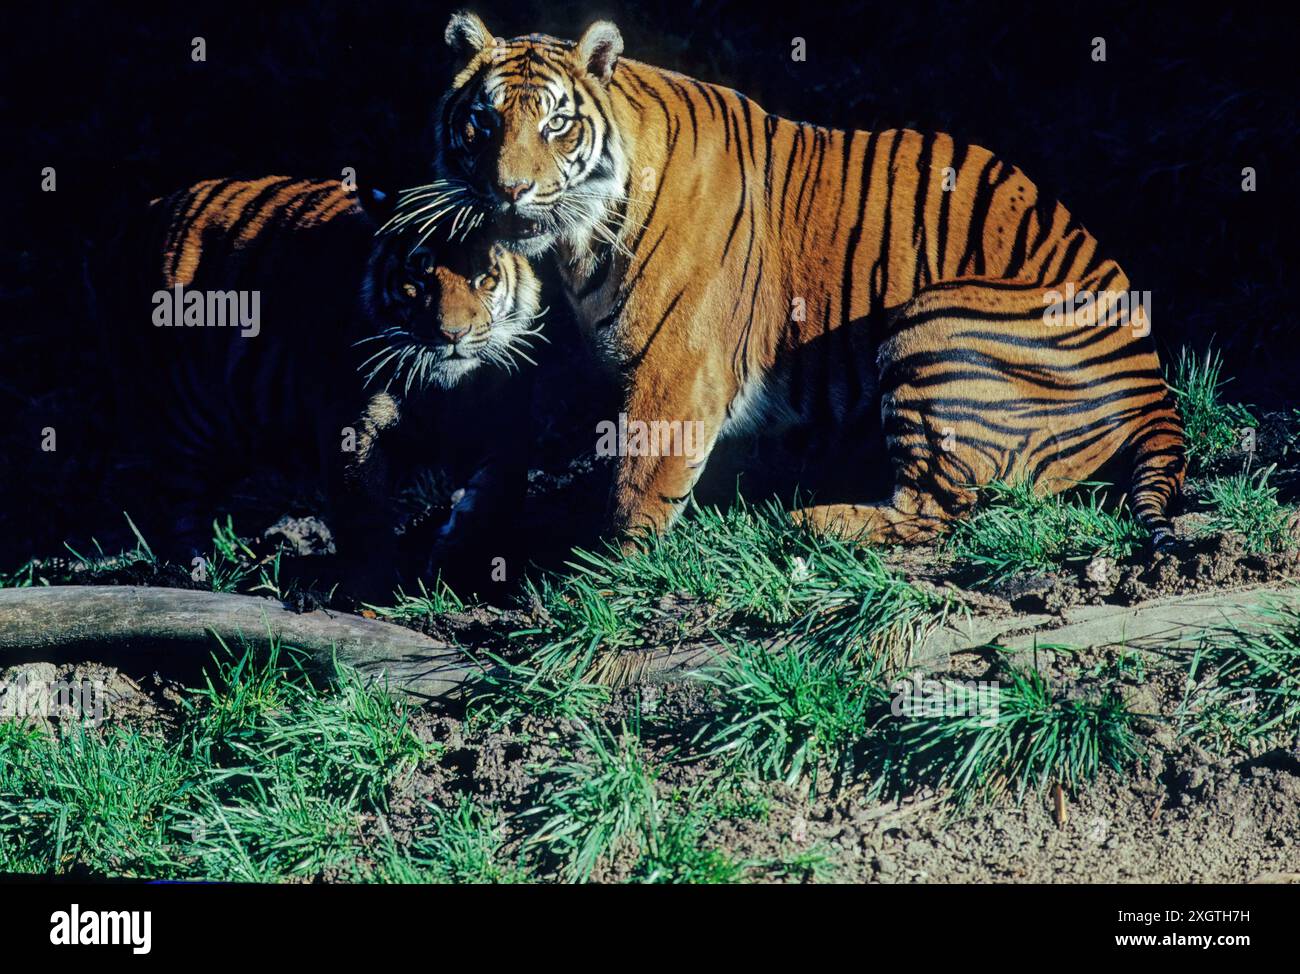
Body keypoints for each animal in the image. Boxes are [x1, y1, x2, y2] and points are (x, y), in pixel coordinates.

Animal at [107, 175, 543, 591]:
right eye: (415, 282)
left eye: (484, 279)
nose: (453, 334)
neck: (442, 390)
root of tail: (150, 208)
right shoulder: (352, 423)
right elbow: (363, 512)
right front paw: (374, 591)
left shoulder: (504, 422)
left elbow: (494, 496)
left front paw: (456, 569)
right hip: (185, 415)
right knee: (177, 502)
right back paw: (194, 570)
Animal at [400, 12, 1186, 551]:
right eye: (482, 123)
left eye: (557, 124)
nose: (510, 191)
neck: (579, 244)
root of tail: (1154, 383)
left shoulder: (675, 373)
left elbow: (635, 489)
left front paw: (595, 584)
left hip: (936, 318)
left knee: (937, 514)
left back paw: (808, 520)